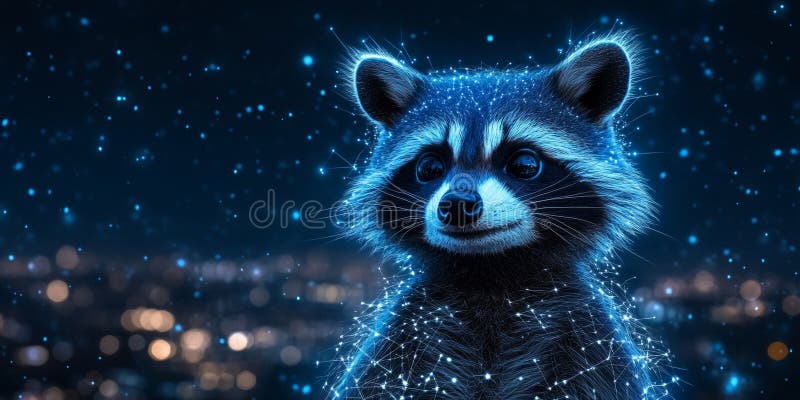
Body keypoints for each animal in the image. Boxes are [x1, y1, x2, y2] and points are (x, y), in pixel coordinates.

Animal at [325, 37, 672, 399]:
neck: (489, 274)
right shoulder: (404, 337)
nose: (457, 204)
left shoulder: (589, 337)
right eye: (430, 167)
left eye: (524, 164)